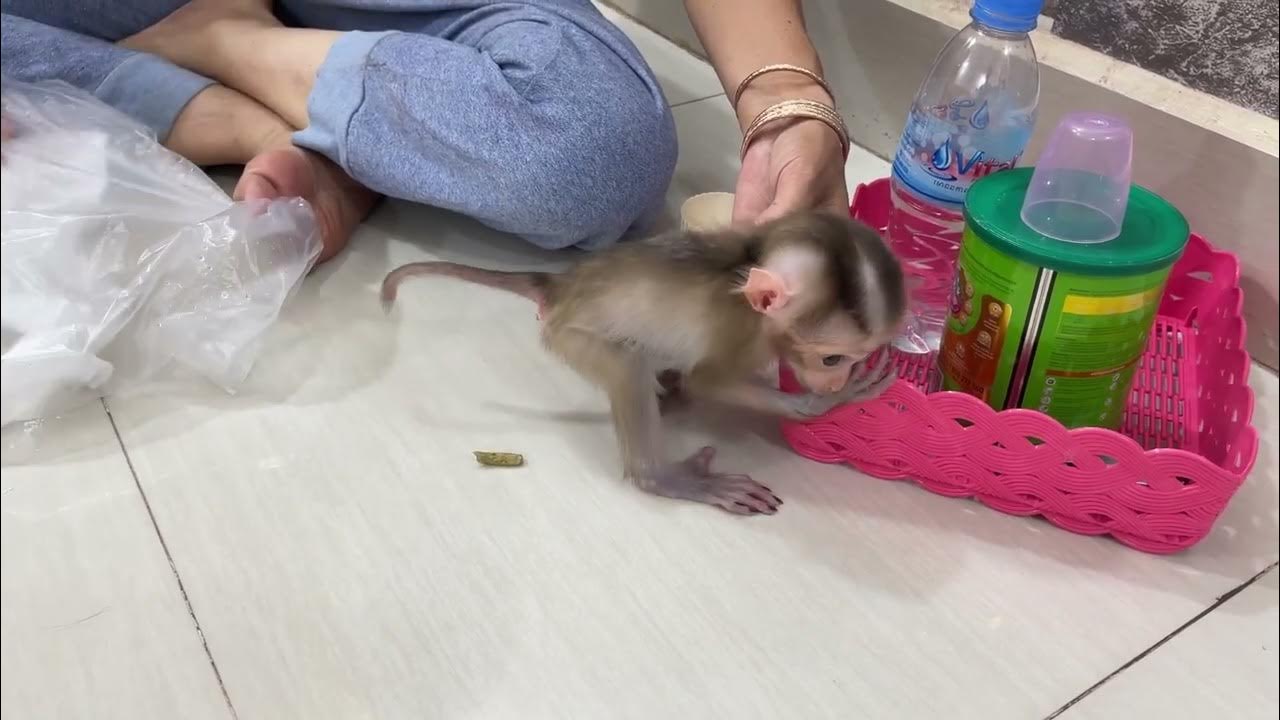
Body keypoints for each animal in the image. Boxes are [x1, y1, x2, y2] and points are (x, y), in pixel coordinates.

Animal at [381, 211, 907, 515]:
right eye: (833, 357)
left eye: (852, 357)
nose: (834, 380)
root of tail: (561, 286)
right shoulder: (740, 334)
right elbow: (708, 381)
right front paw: (824, 404)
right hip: (570, 337)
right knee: (628, 363)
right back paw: (666, 477)